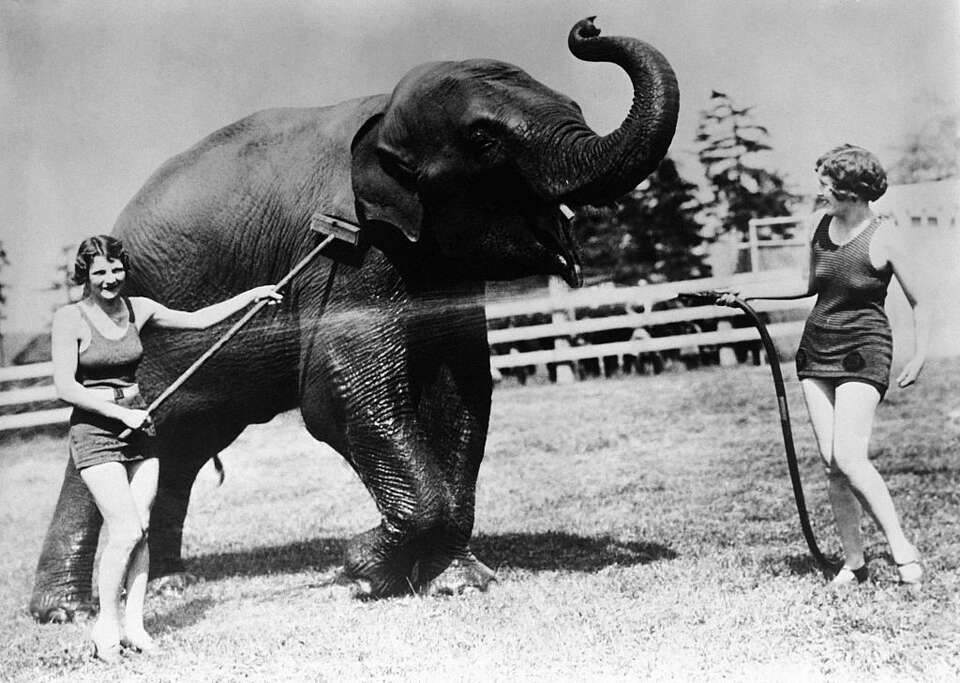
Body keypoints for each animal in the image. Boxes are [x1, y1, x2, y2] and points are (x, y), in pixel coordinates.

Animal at [30, 17, 678, 621]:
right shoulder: (345, 254)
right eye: (483, 139)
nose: (587, 26)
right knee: (116, 444)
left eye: (576, 107)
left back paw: (168, 584)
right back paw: (65, 610)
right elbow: (339, 394)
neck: (382, 115)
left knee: (183, 446)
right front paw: (362, 572)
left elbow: (463, 394)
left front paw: (458, 581)